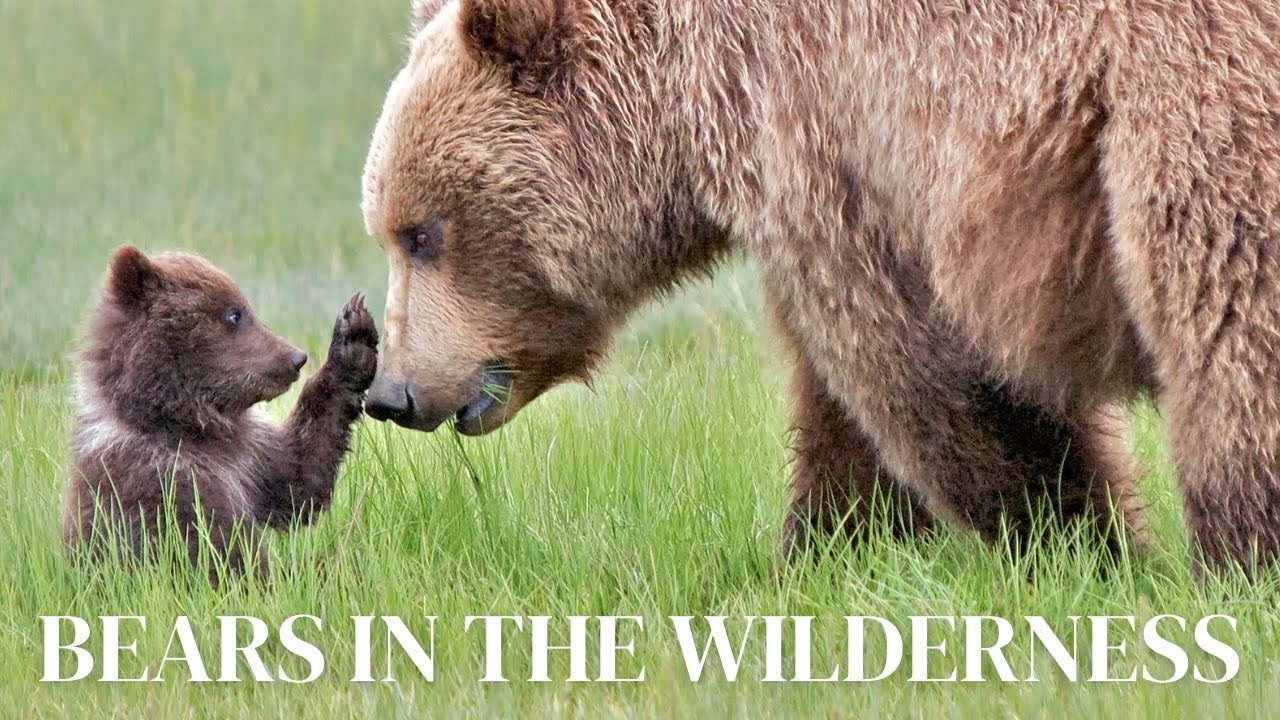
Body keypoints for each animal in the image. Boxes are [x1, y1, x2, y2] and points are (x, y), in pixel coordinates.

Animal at [63, 245, 379, 581]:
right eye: (233, 314)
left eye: (243, 307)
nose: (296, 358)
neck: (183, 424)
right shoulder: (156, 483)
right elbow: (223, 560)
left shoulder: (248, 456)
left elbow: (298, 477)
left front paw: (354, 339)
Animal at [357, 0, 1280, 577]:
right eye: (391, 228)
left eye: (422, 233)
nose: (391, 392)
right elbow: (848, 418)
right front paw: (823, 555)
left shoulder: (824, 129)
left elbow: (925, 365)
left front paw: (1085, 548)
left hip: (1188, 101)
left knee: (1227, 317)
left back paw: (1238, 563)